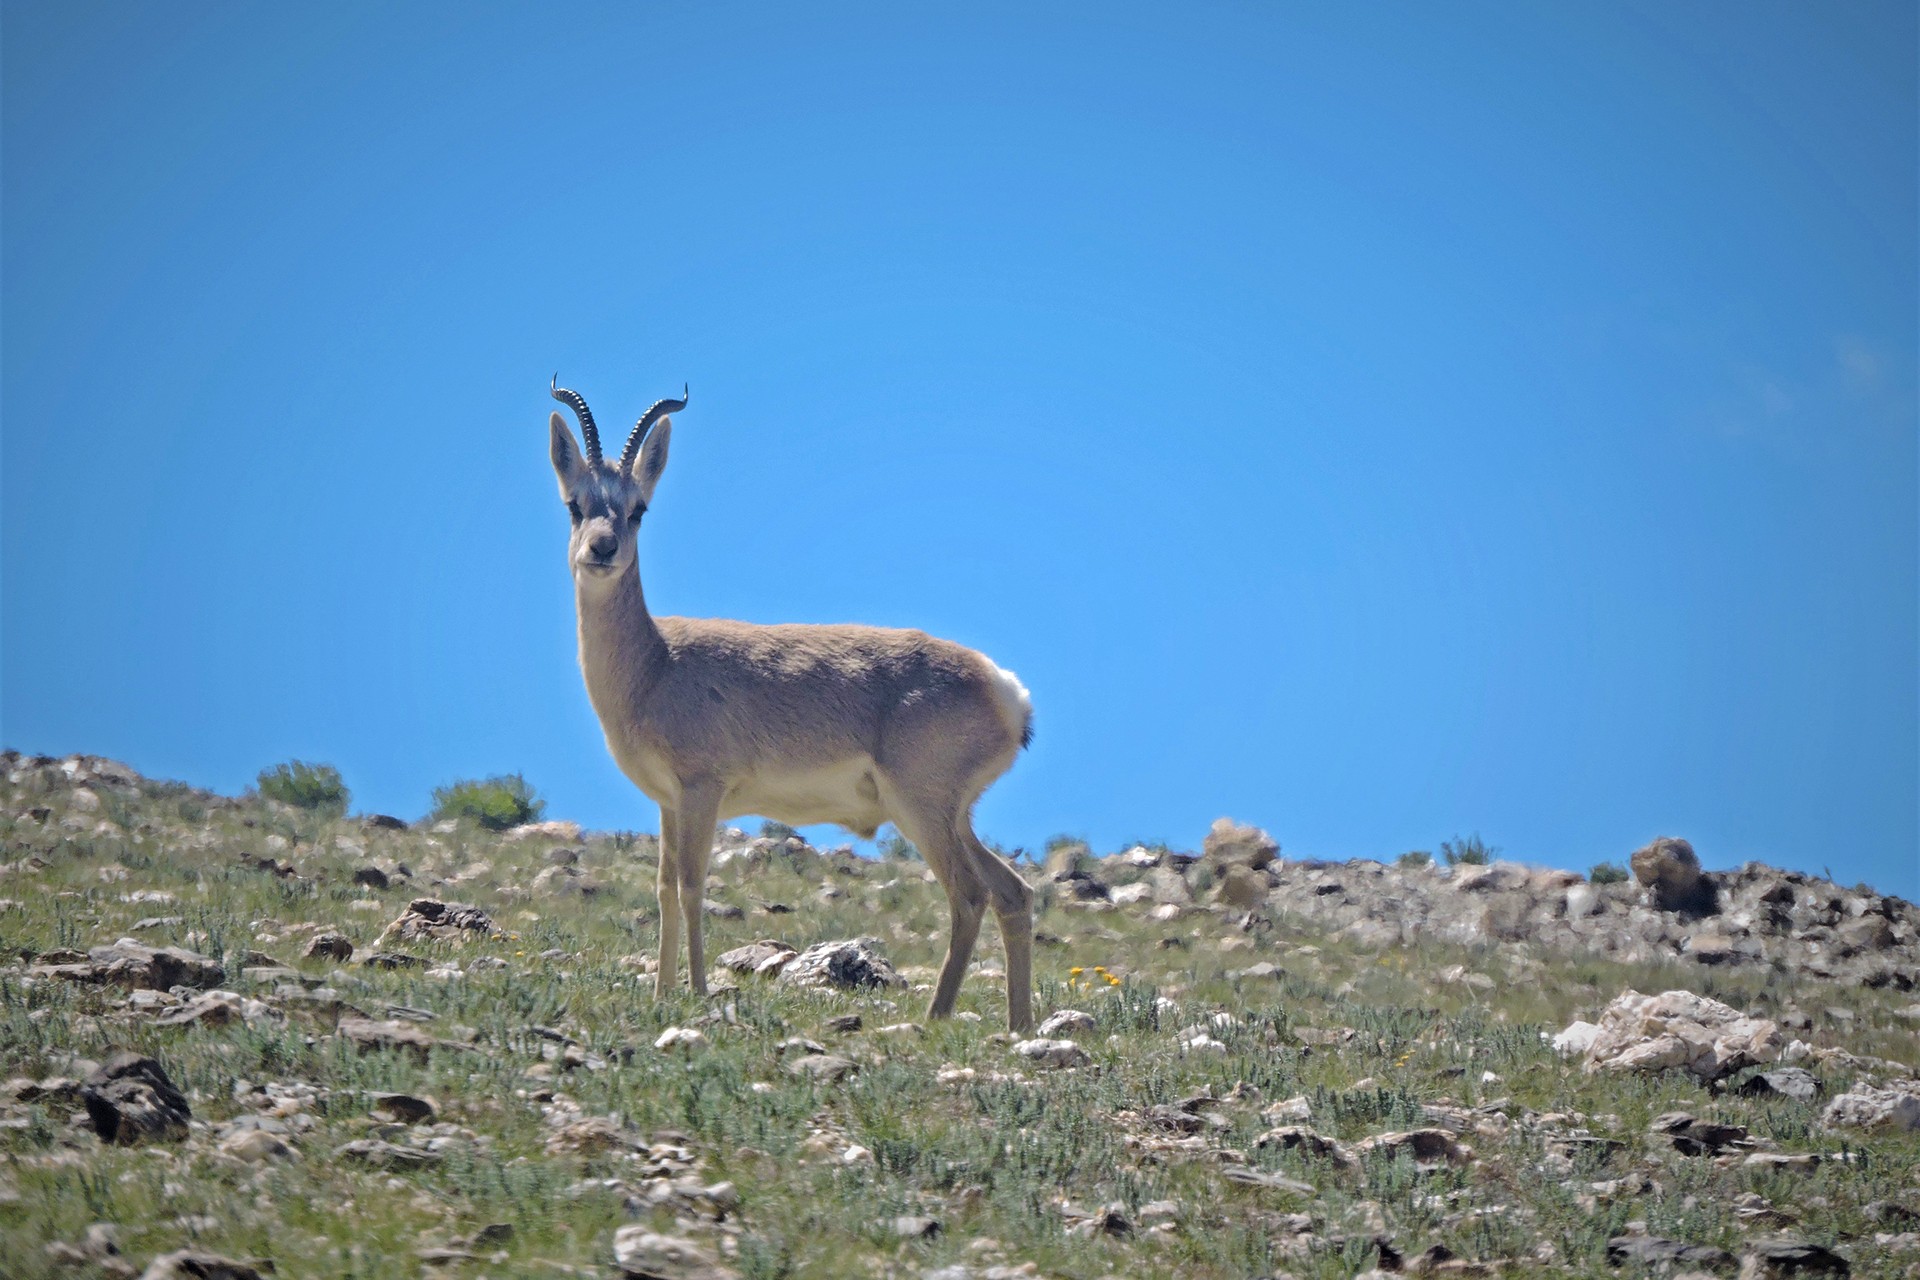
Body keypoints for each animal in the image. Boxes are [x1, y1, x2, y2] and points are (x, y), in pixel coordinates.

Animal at [547, 379, 1036, 1031]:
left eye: (638, 510)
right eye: (576, 504)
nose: (602, 549)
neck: (656, 663)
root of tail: (1004, 688)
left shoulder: (701, 792)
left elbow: (692, 884)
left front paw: (697, 992)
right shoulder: (668, 802)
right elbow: (662, 889)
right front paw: (659, 995)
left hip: (923, 811)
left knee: (970, 894)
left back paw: (936, 1017)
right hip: (951, 816)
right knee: (1012, 891)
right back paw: (1017, 1026)